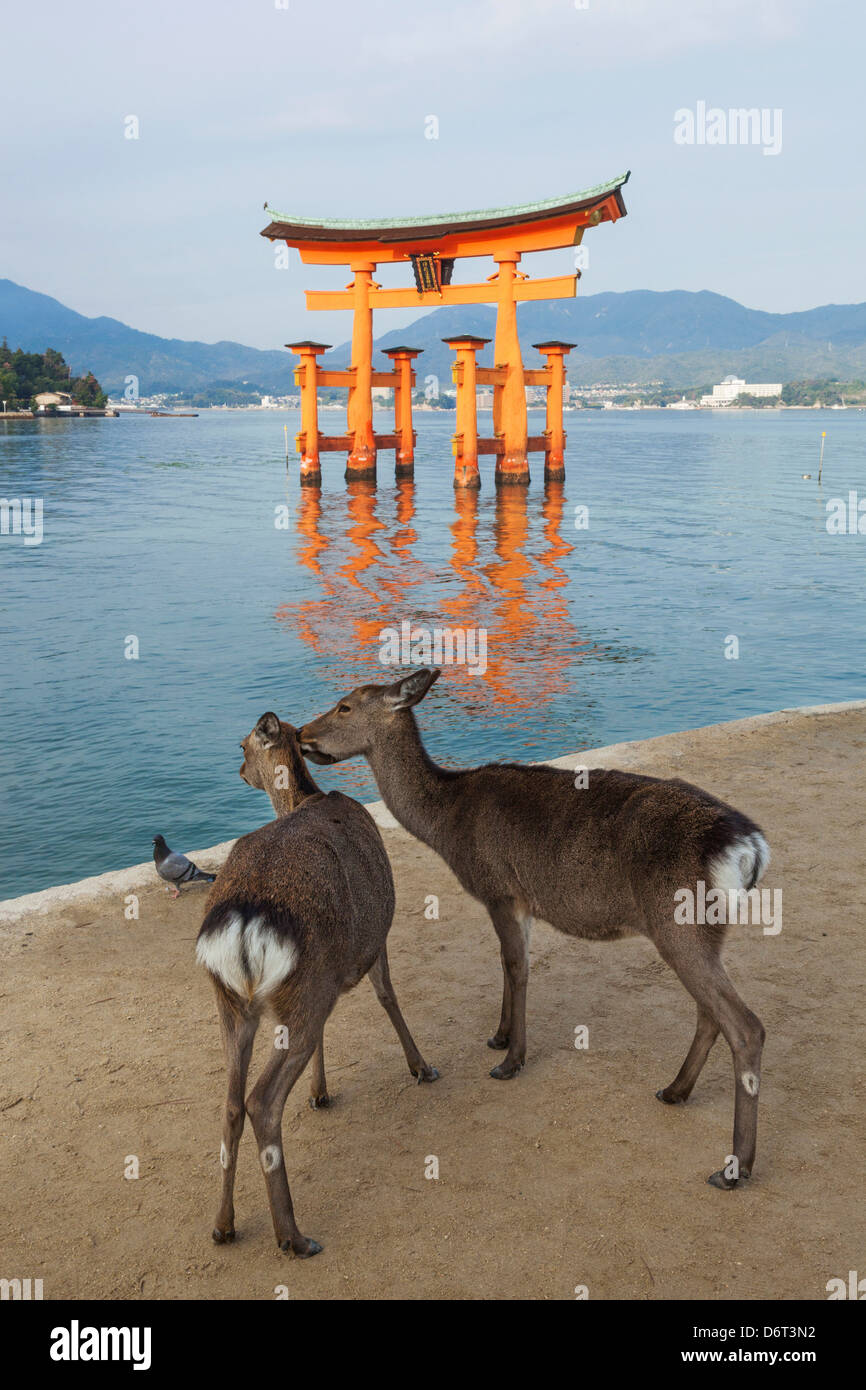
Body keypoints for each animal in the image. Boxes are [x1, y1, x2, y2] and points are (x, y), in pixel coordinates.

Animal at [195, 711, 438, 1258]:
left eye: (241, 746)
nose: (239, 769)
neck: (306, 796)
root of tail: (245, 918)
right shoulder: (373, 936)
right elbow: (388, 995)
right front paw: (422, 1067)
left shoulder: (329, 977)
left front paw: (320, 1092)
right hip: (299, 988)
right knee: (261, 1101)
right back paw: (293, 1236)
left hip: (232, 1001)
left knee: (230, 1101)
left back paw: (222, 1225)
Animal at [300, 668, 771, 1190]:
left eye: (344, 706)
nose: (301, 735)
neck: (446, 822)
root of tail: (750, 848)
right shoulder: (518, 903)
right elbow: (508, 965)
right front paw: (499, 1036)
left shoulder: (500, 889)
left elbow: (516, 967)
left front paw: (510, 1061)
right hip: (706, 932)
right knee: (712, 1013)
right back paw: (675, 1090)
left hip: (679, 925)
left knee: (746, 1026)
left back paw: (734, 1167)